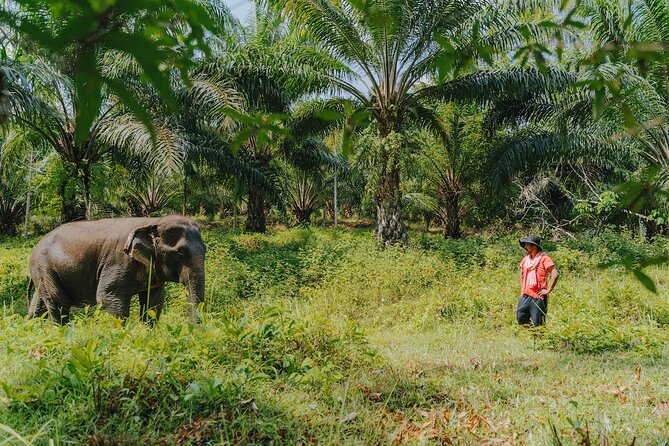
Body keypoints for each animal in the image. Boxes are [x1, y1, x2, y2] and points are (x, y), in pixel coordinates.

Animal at [26, 215, 206, 324]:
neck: (152, 221)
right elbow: (109, 296)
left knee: (40, 305)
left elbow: (153, 301)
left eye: (205, 250)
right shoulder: (119, 261)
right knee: (58, 302)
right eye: (179, 253)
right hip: (44, 267)